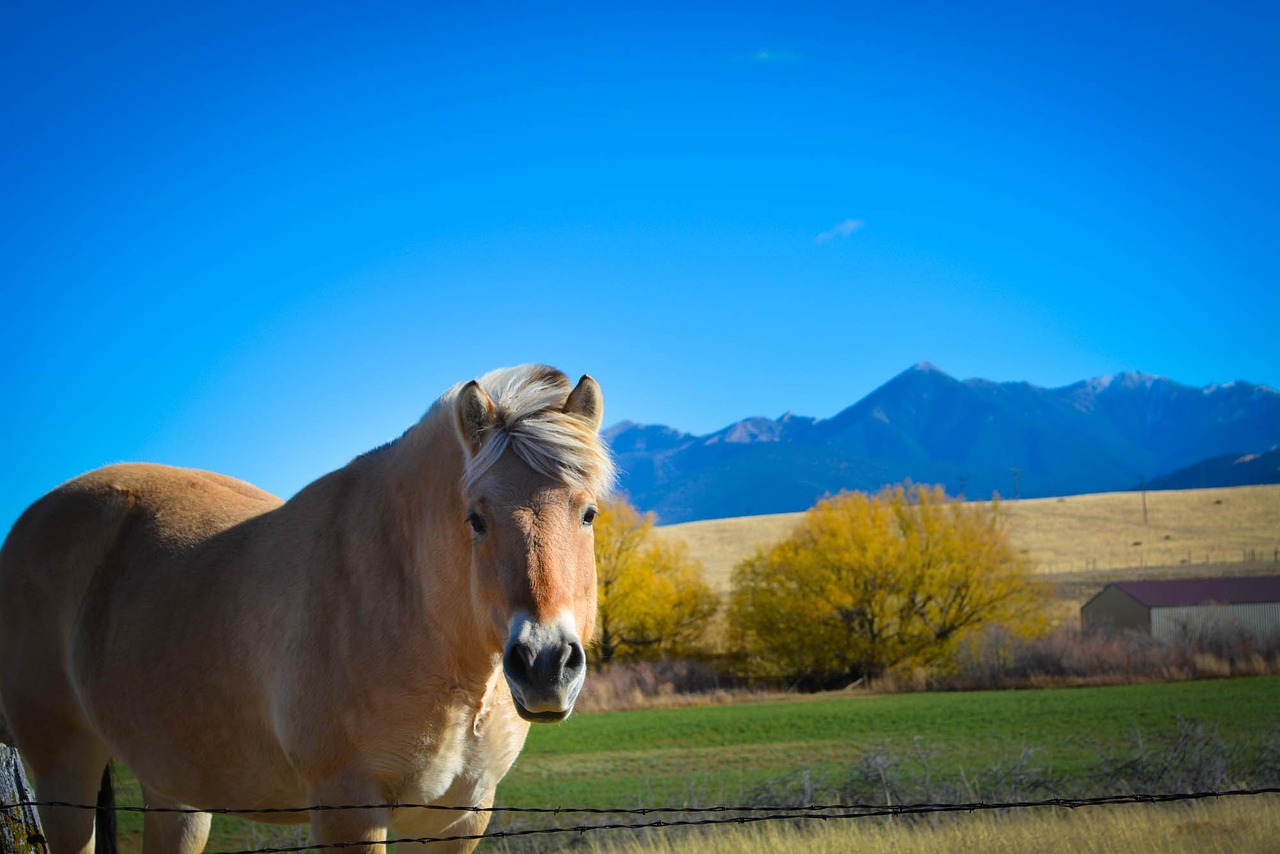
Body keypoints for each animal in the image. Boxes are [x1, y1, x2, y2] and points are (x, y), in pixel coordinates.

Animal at [0, 363, 614, 850]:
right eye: (477, 519)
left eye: (587, 514)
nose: (544, 665)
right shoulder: (348, 810)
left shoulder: (457, 819)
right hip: (62, 770)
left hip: (174, 787)